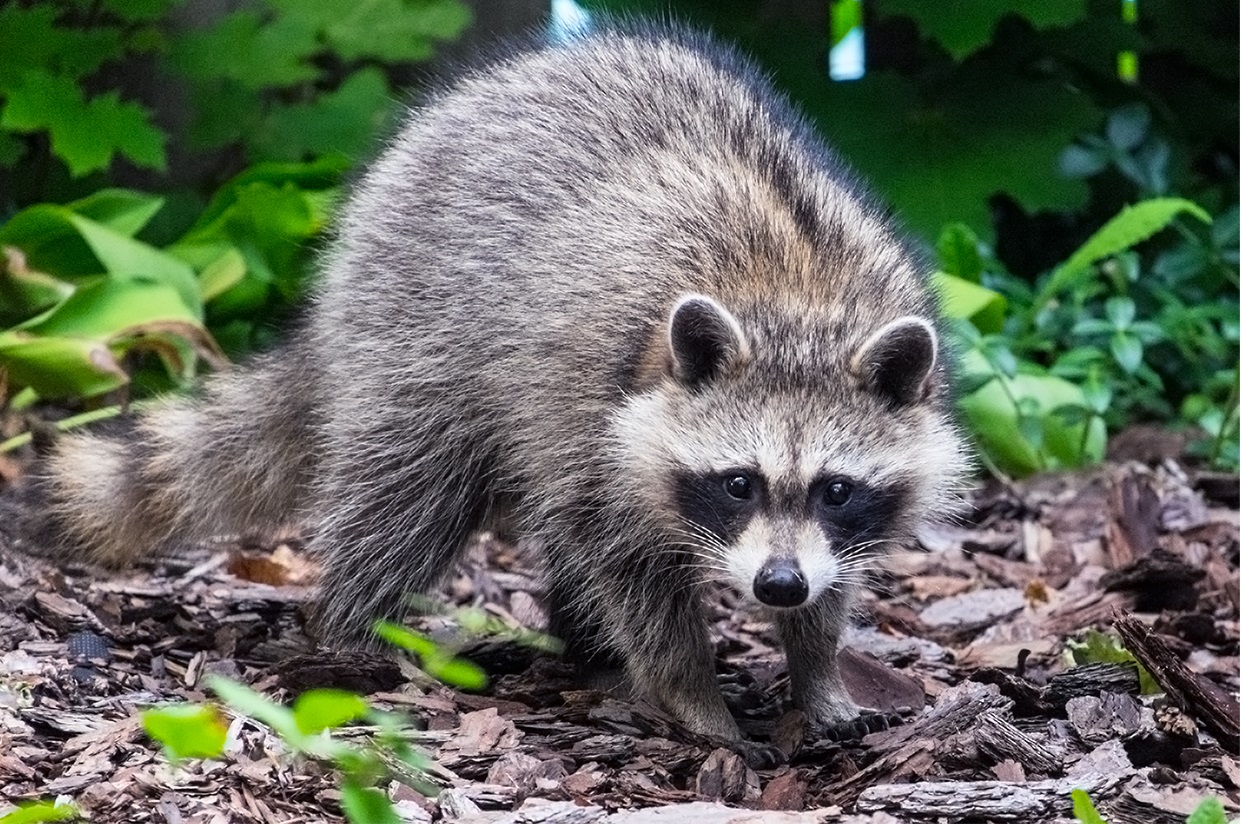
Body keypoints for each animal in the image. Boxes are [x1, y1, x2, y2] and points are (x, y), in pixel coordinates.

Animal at [26, 24, 969, 755]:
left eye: (835, 488)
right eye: (738, 483)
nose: (776, 586)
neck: (797, 300)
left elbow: (831, 576)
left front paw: (816, 669)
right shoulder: (597, 394)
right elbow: (623, 562)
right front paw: (691, 693)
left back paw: (584, 644)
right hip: (419, 318)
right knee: (407, 496)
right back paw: (357, 632)